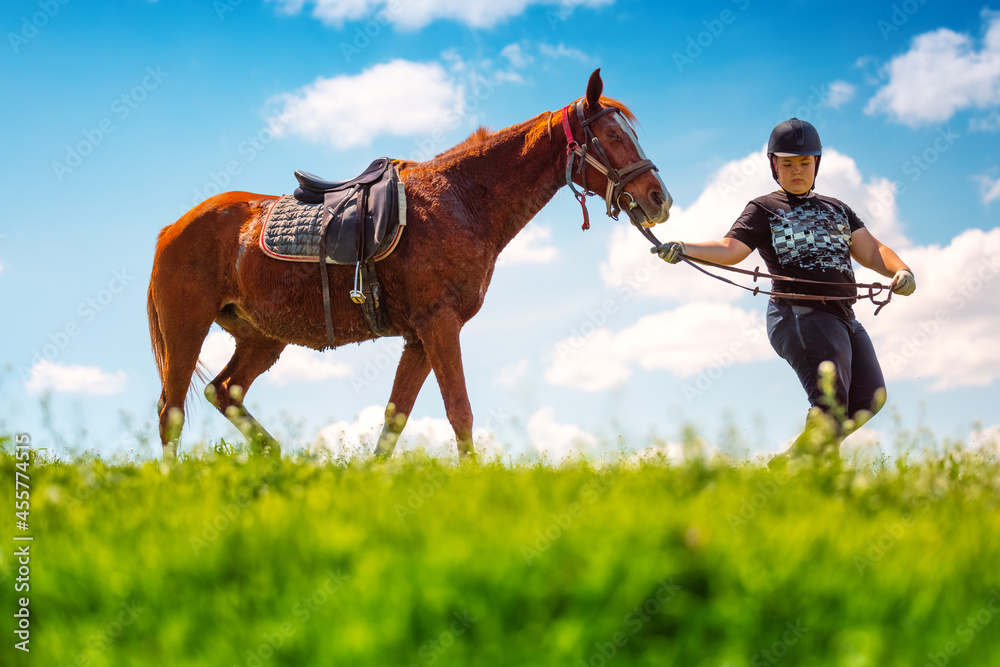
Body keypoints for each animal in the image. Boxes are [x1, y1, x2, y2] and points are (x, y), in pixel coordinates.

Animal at [147, 68, 672, 460]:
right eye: (610, 134)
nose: (659, 198)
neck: (462, 199)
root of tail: (171, 229)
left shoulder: (420, 336)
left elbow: (394, 420)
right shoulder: (440, 324)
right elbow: (459, 411)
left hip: (262, 337)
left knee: (224, 391)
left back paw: (270, 453)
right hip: (187, 328)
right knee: (171, 412)